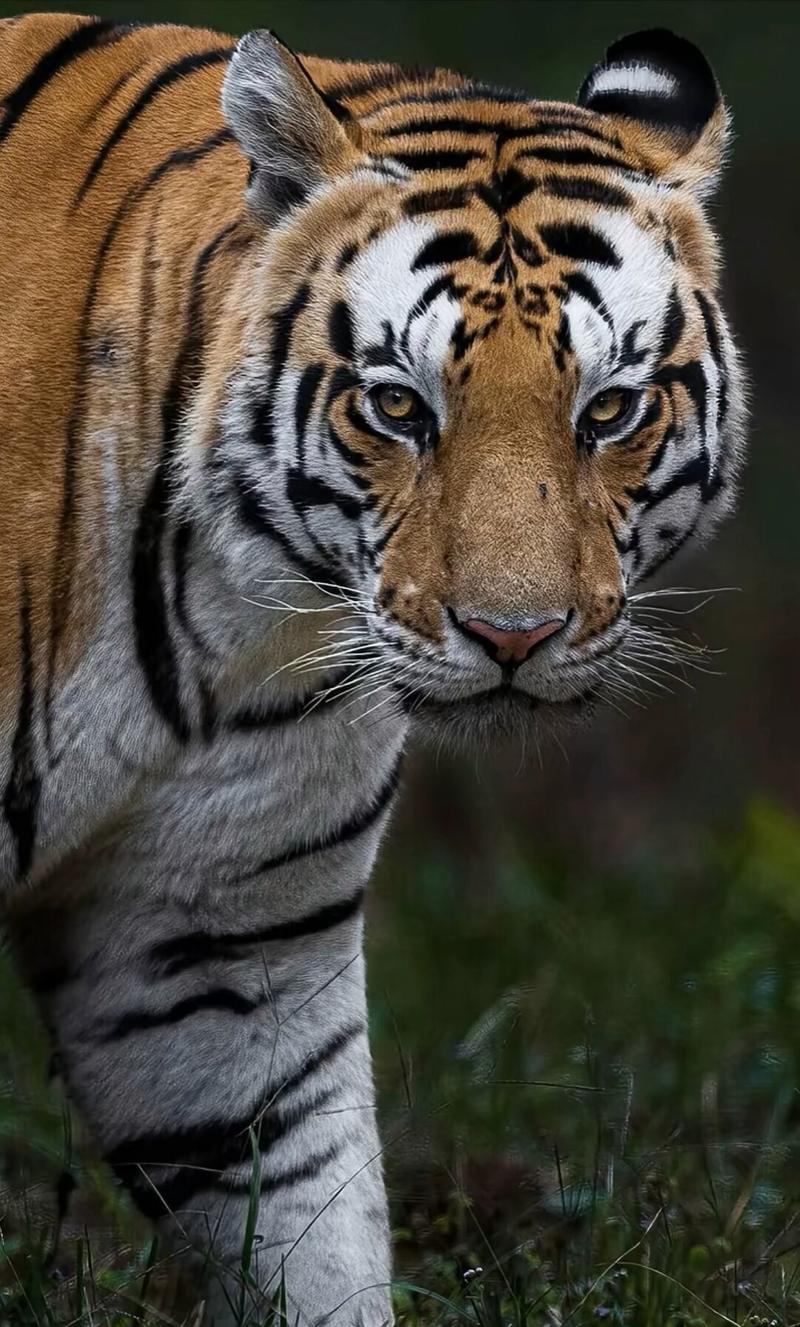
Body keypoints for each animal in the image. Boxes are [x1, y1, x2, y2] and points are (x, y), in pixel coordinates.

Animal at [0, 11, 745, 1325]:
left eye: (607, 411)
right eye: (397, 408)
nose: (513, 634)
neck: (229, 611)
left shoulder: (208, 944)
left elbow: (301, 1214)